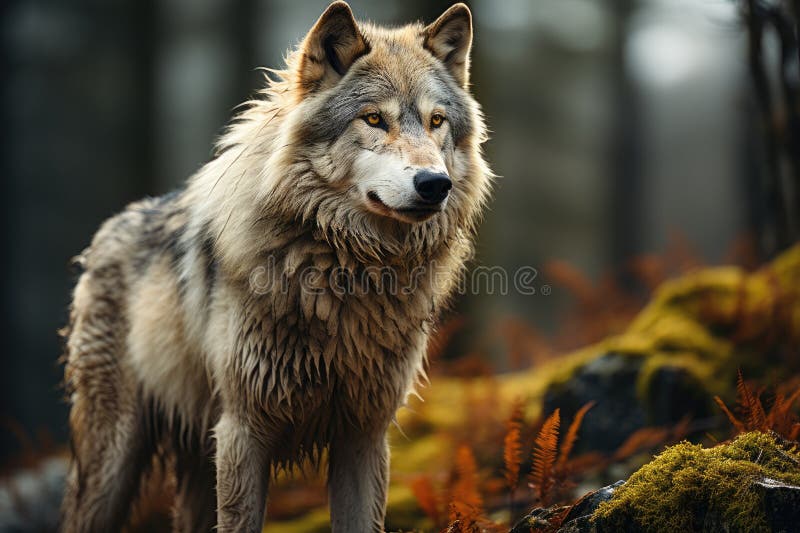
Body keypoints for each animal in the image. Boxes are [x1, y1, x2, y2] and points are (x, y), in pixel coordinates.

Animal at [60, 2, 492, 531]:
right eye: (373, 118)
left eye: (436, 121)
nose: (435, 184)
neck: (344, 273)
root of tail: (107, 231)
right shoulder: (243, 431)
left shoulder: (364, 436)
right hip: (114, 461)